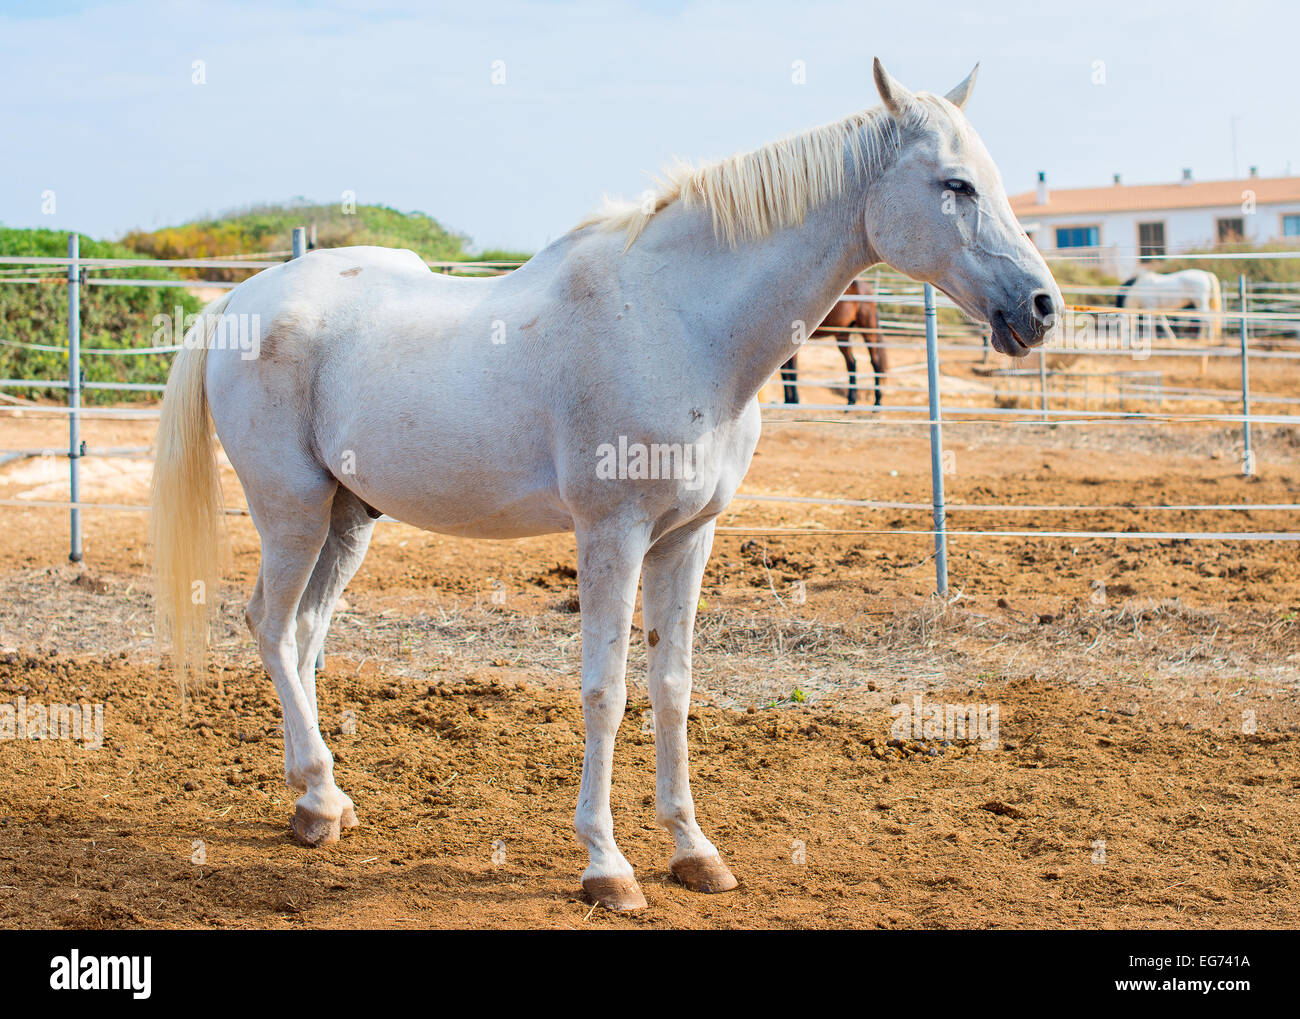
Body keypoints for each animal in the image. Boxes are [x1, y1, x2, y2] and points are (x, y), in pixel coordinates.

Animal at [780, 279, 886, 407]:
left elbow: (792, 371)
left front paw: (795, 401)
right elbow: (784, 372)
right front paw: (787, 400)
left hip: (868, 332)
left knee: (875, 362)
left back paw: (877, 402)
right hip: (842, 335)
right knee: (851, 363)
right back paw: (850, 401)